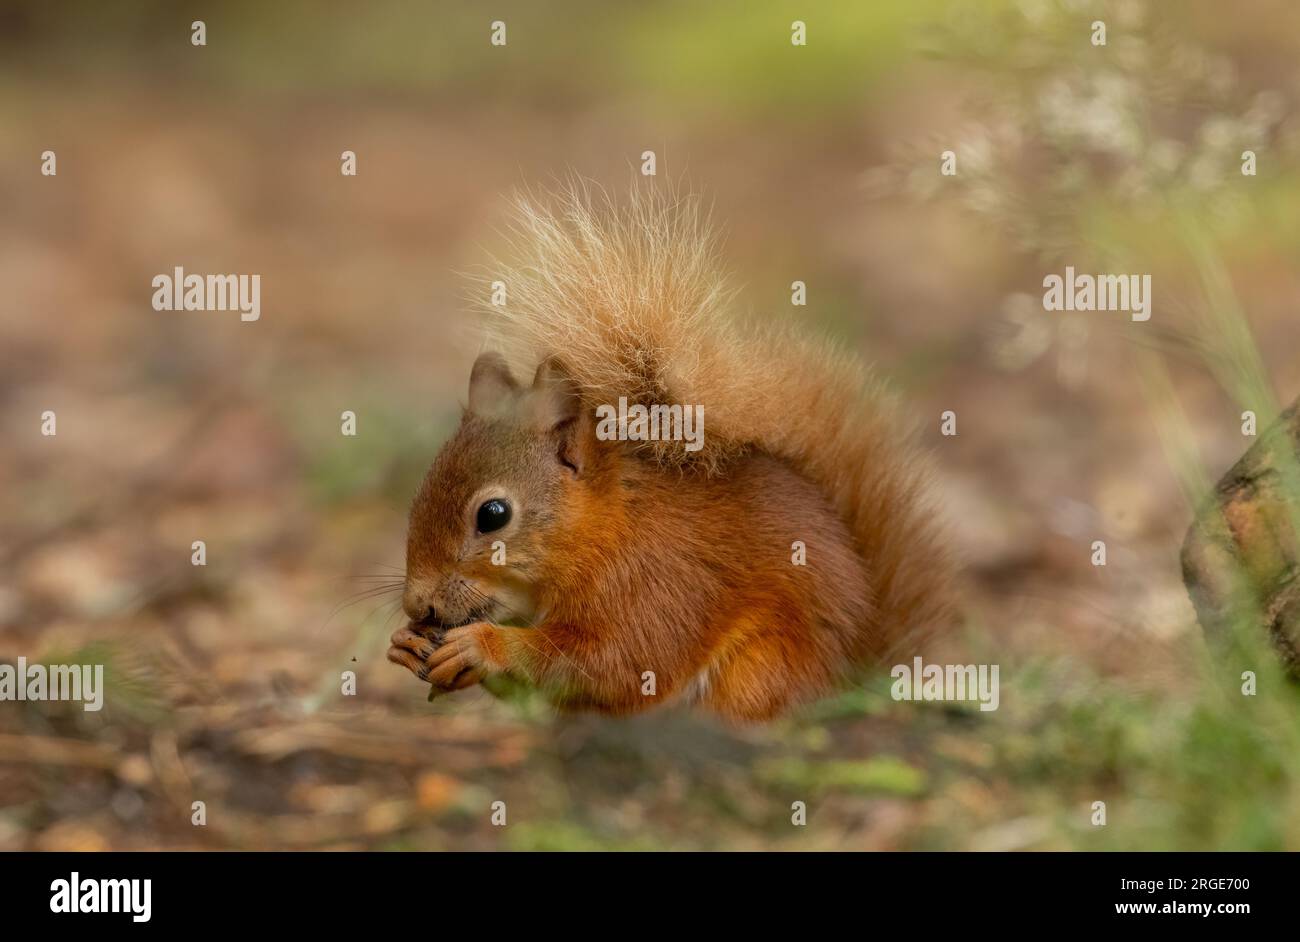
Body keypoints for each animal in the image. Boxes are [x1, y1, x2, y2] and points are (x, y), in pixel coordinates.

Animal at [386, 183, 955, 722]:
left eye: (493, 515)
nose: (417, 602)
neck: (608, 528)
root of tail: (858, 672)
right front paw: (407, 644)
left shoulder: (658, 583)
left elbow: (617, 661)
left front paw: (485, 646)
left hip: (762, 667)